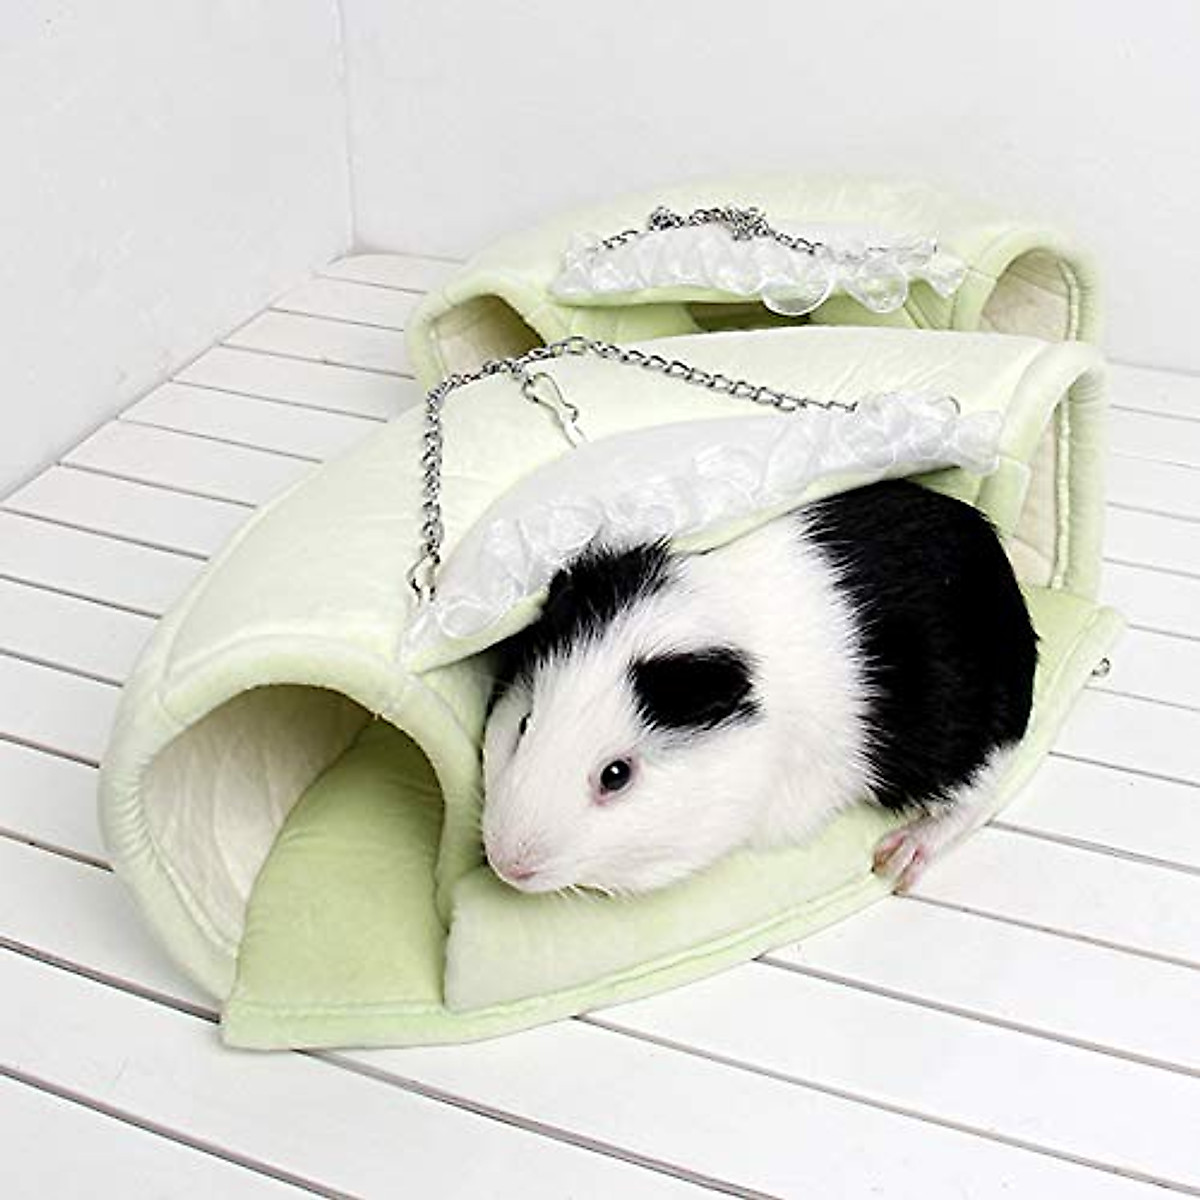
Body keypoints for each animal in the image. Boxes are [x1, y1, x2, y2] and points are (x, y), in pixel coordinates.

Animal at [481, 478, 1037, 896]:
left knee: (979, 796)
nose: (509, 864)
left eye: (616, 775)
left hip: (962, 755)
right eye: (525, 722)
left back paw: (897, 859)